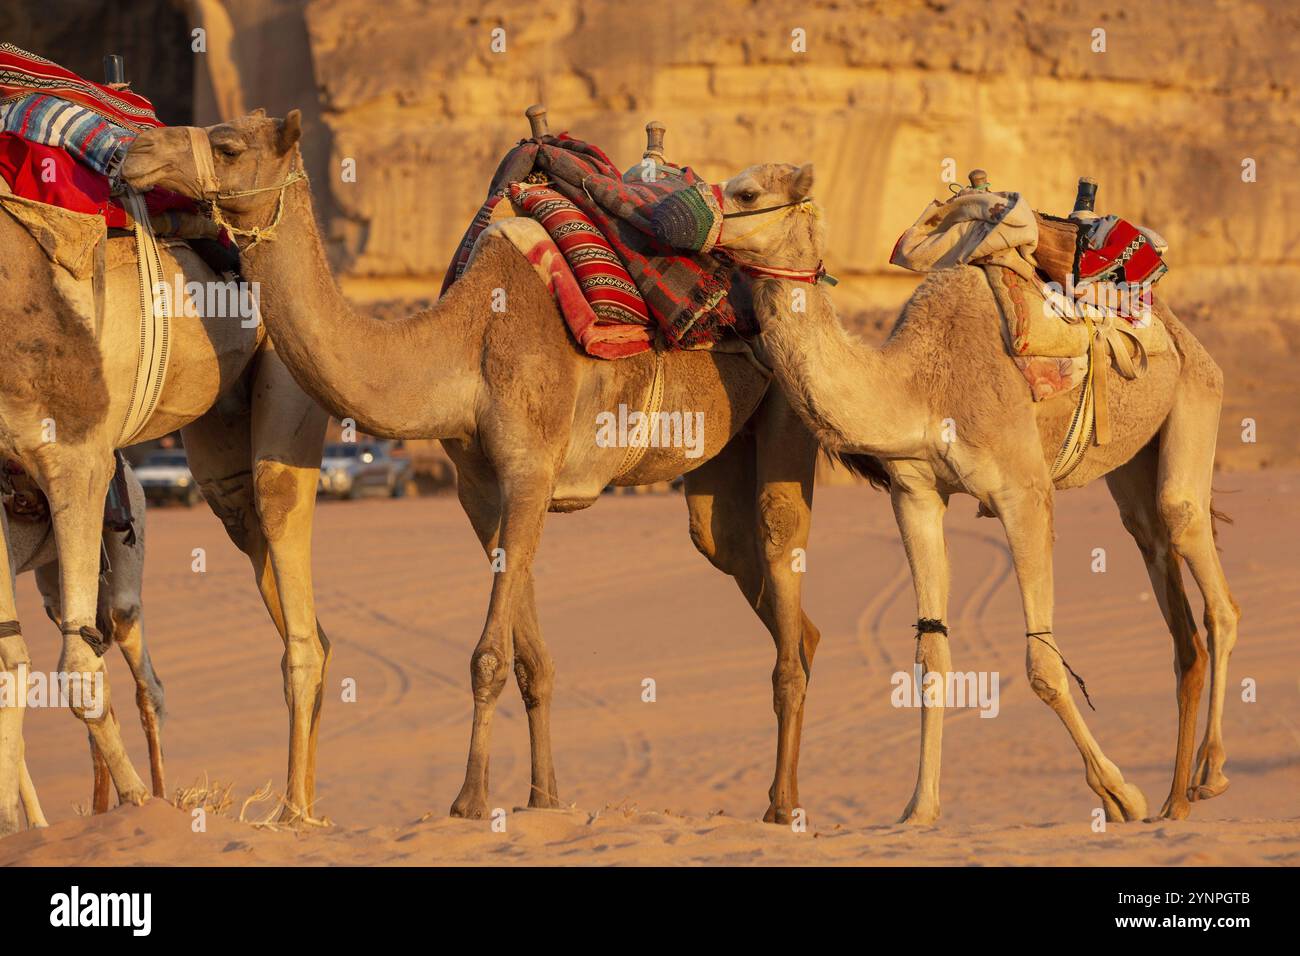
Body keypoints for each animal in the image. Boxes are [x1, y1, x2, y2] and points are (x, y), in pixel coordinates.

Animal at [121, 108, 858, 824]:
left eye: (228, 144)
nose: (135, 153)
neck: (466, 341)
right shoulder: (480, 487)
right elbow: (531, 659)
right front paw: (544, 799)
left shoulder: (531, 467)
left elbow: (489, 656)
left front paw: (471, 801)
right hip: (718, 464)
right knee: (753, 576)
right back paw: (783, 783)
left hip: (791, 396)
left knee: (780, 552)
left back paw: (783, 804)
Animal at [688, 162, 1238, 823]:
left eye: (746, 193)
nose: (682, 208)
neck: (918, 387)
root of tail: (1180, 331)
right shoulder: (914, 493)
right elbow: (932, 657)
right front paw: (919, 809)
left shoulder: (1024, 492)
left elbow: (1042, 664)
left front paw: (1119, 793)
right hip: (1131, 464)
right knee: (1162, 572)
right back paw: (1174, 803)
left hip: (1198, 392)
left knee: (1201, 563)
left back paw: (1209, 776)